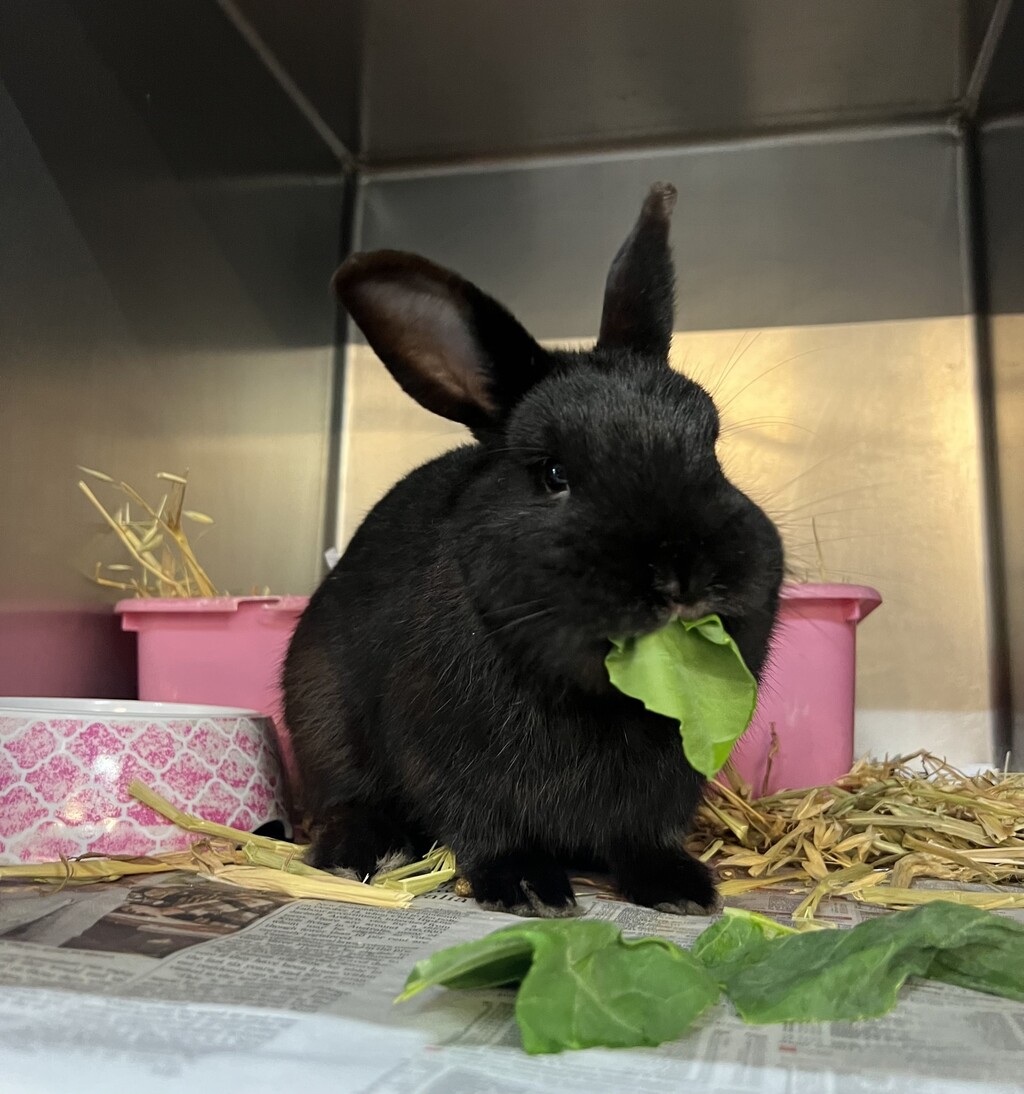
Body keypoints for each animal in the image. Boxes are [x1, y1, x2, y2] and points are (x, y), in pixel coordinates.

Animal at [283, 182, 784, 917]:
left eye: (712, 446)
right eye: (553, 473)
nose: (682, 573)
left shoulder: (664, 791)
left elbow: (644, 837)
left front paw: (682, 890)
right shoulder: (449, 762)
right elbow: (488, 829)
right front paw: (530, 888)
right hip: (320, 719)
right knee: (349, 800)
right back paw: (358, 853)